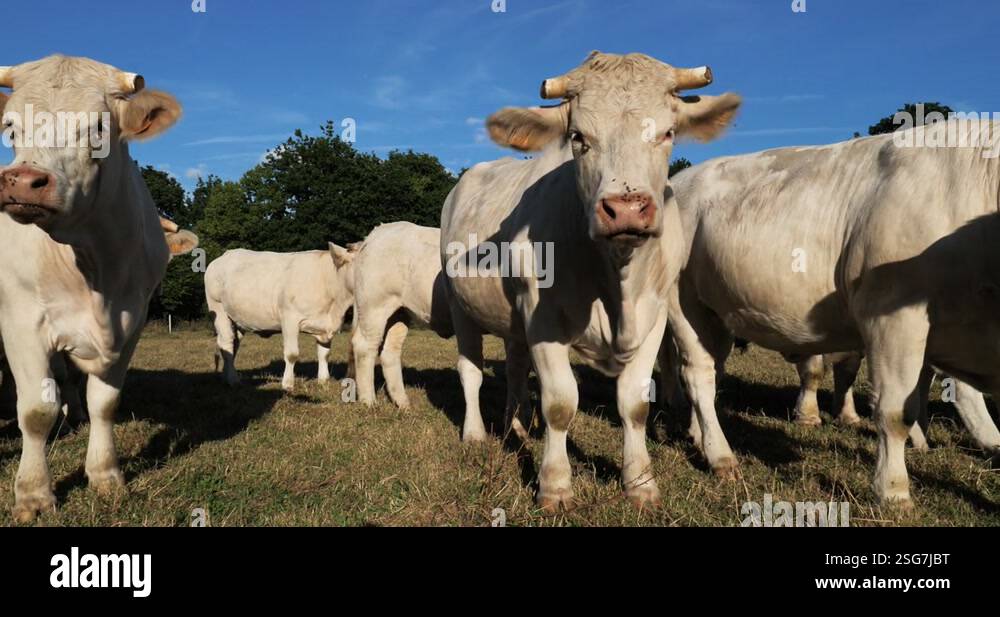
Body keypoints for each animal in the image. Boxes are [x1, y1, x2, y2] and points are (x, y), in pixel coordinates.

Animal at [0, 55, 198, 522]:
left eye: (98, 127)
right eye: (10, 127)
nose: (23, 181)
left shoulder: (132, 322)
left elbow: (104, 403)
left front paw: (106, 476)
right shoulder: (20, 320)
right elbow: (35, 410)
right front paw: (33, 494)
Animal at [205, 245, 357, 392]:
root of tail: (226, 255)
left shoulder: (324, 326)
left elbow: (324, 354)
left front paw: (323, 382)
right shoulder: (290, 319)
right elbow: (292, 354)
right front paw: (287, 384)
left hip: (238, 319)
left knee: (233, 345)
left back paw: (225, 377)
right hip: (218, 309)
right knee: (226, 342)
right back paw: (233, 381)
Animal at [350, 222, 454, 409]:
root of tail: (375, 234)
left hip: (399, 313)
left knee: (390, 351)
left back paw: (402, 403)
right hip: (374, 306)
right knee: (365, 346)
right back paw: (369, 401)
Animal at [440, 51, 741, 511]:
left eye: (668, 133)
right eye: (578, 137)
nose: (627, 208)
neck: (615, 282)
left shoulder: (655, 315)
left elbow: (634, 402)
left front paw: (640, 483)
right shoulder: (542, 317)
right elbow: (560, 403)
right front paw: (555, 485)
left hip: (512, 321)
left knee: (514, 369)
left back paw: (517, 428)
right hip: (461, 308)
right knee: (470, 371)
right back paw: (475, 434)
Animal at [664, 118, 1000, 507]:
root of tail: (681, 178)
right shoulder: (893, 316)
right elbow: (896, 411)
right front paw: (893, 491)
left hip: (715, 314)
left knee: (713, 369)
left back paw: (698, 435)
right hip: (682, 300)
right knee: (698, 375)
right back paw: (721, 457)